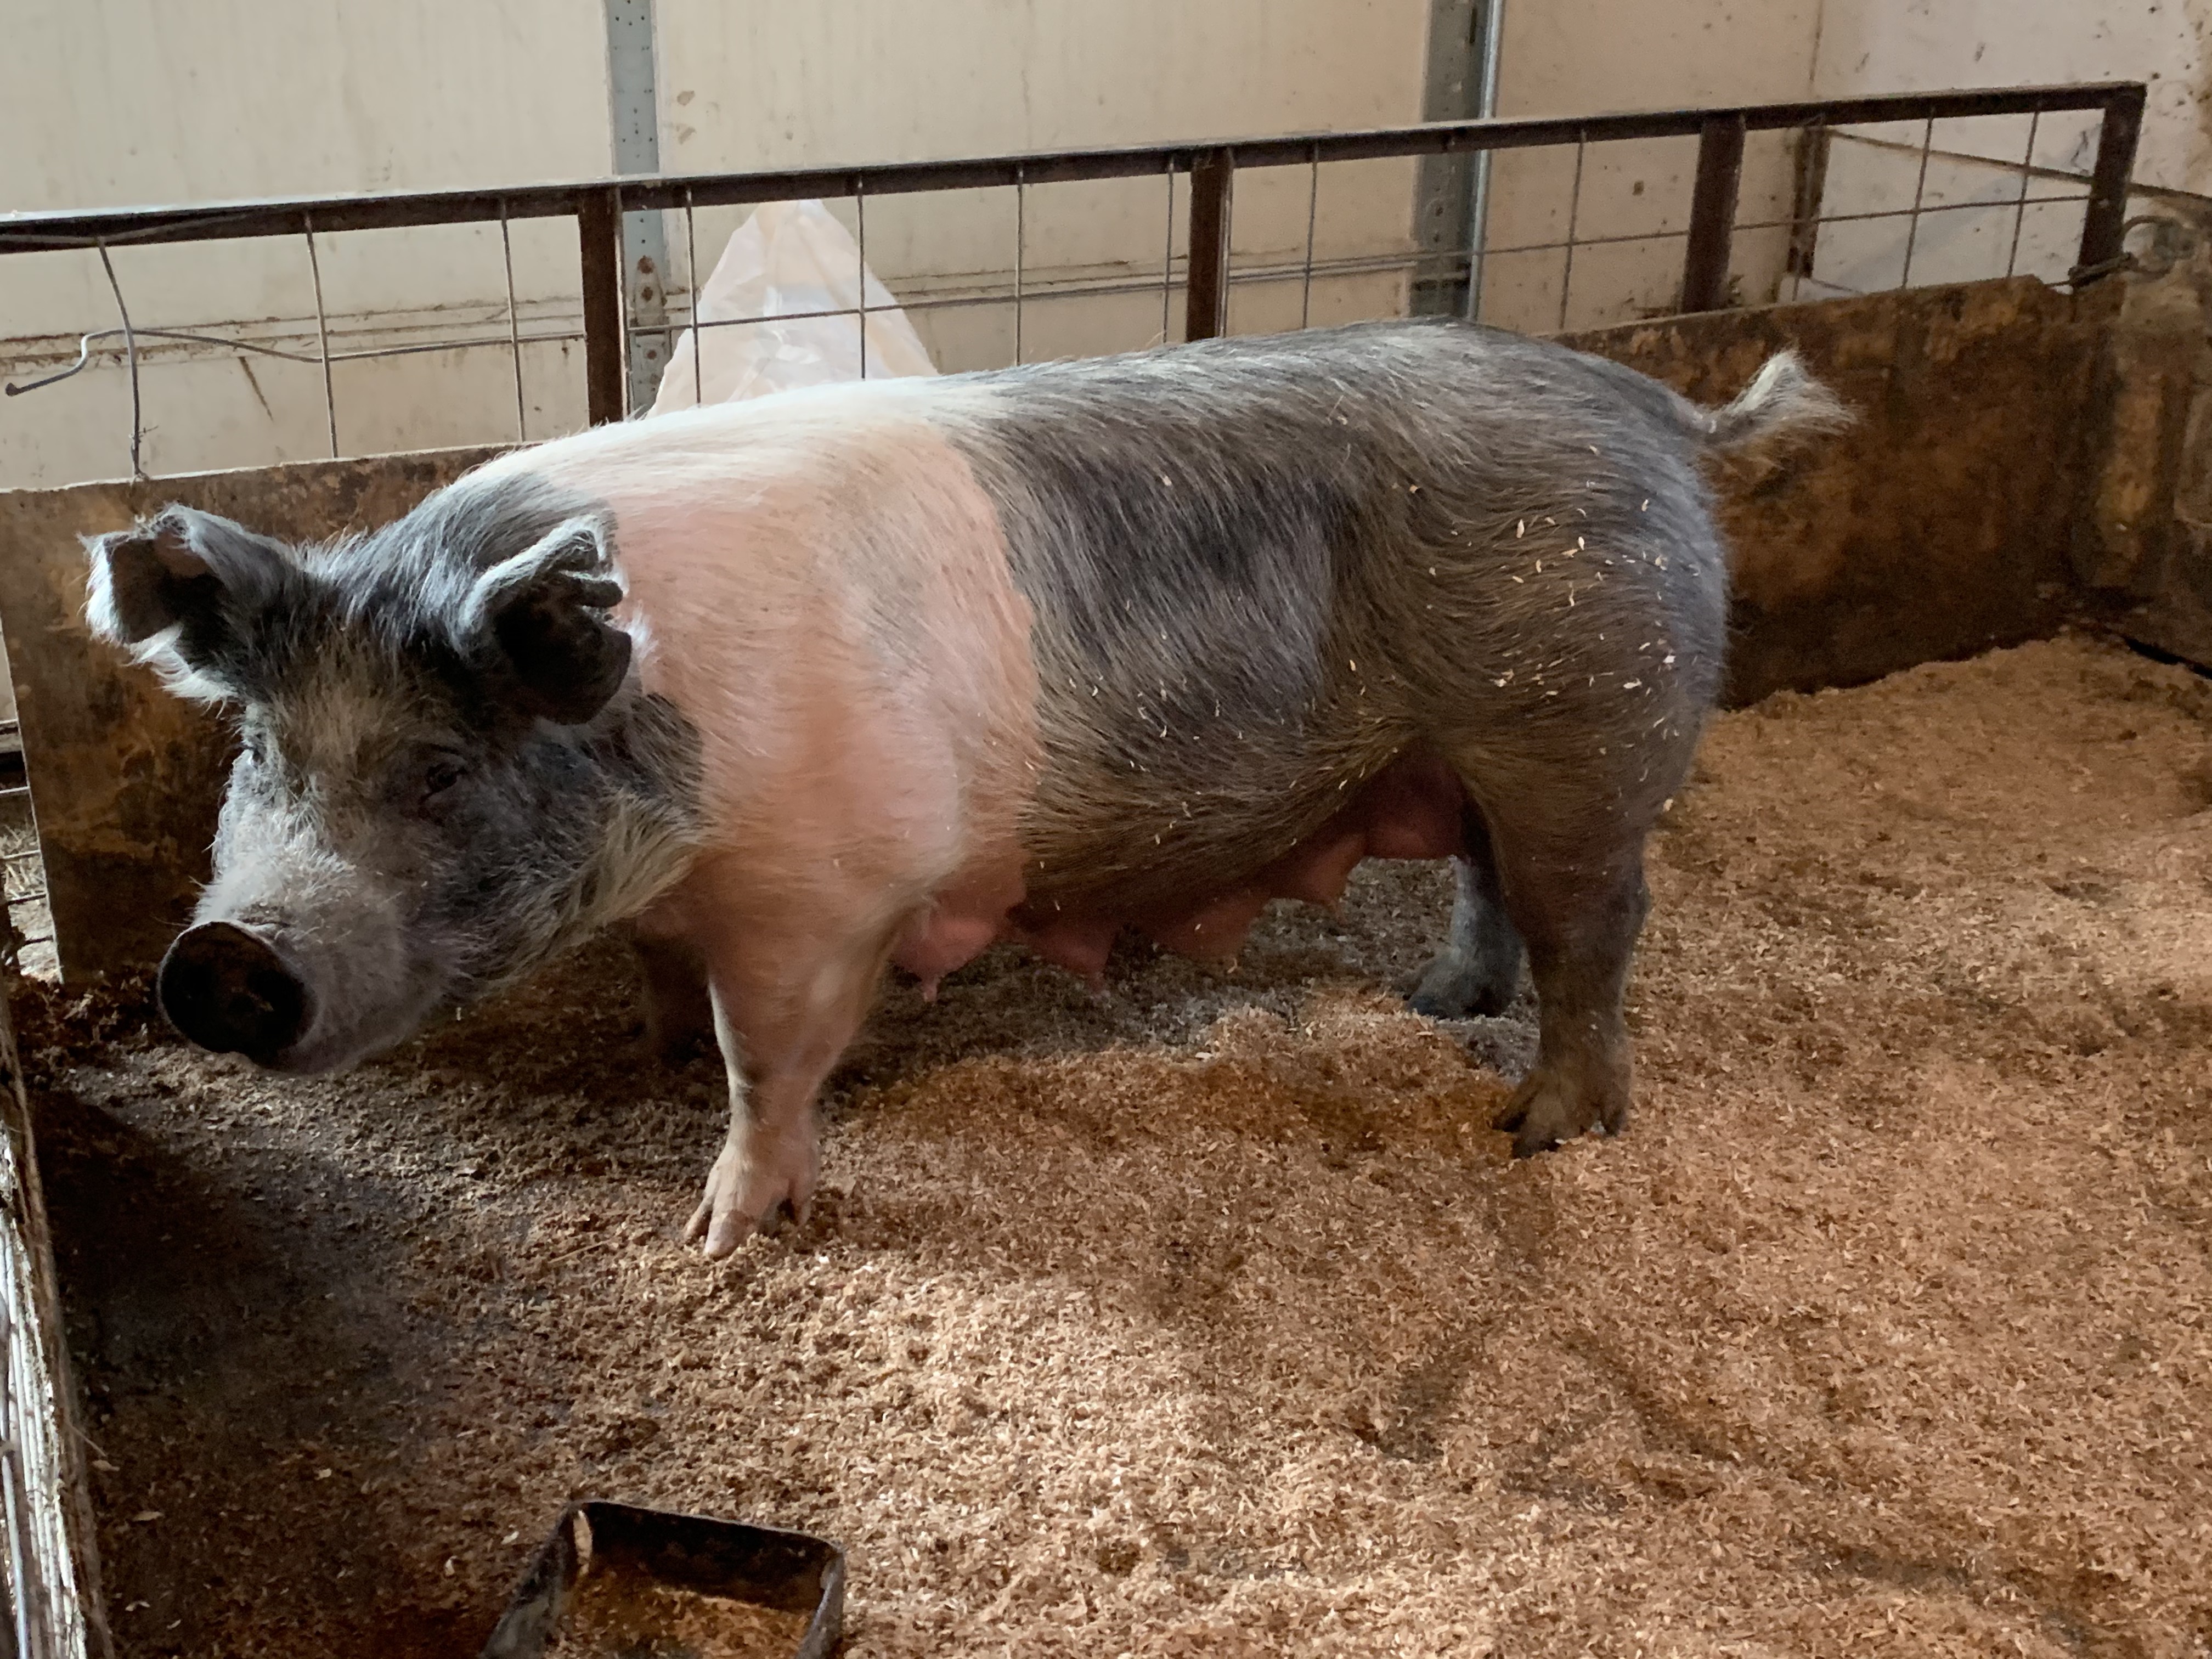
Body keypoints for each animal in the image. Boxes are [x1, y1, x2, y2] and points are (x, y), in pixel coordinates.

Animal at [83, 318, 1844, 1256]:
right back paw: (1436, 1004)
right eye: (261, 753)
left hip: (1585, 730)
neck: (677, 815)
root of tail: (1657, 410)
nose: (221, 957)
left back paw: (1537, 1130)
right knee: (1489, 891)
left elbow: (770, 1062)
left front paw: (720, 1233)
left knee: (1596, 933)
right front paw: (654, 1058)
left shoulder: (816, 897)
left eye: (442, 769)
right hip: (1486, 749)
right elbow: (675, 1005)